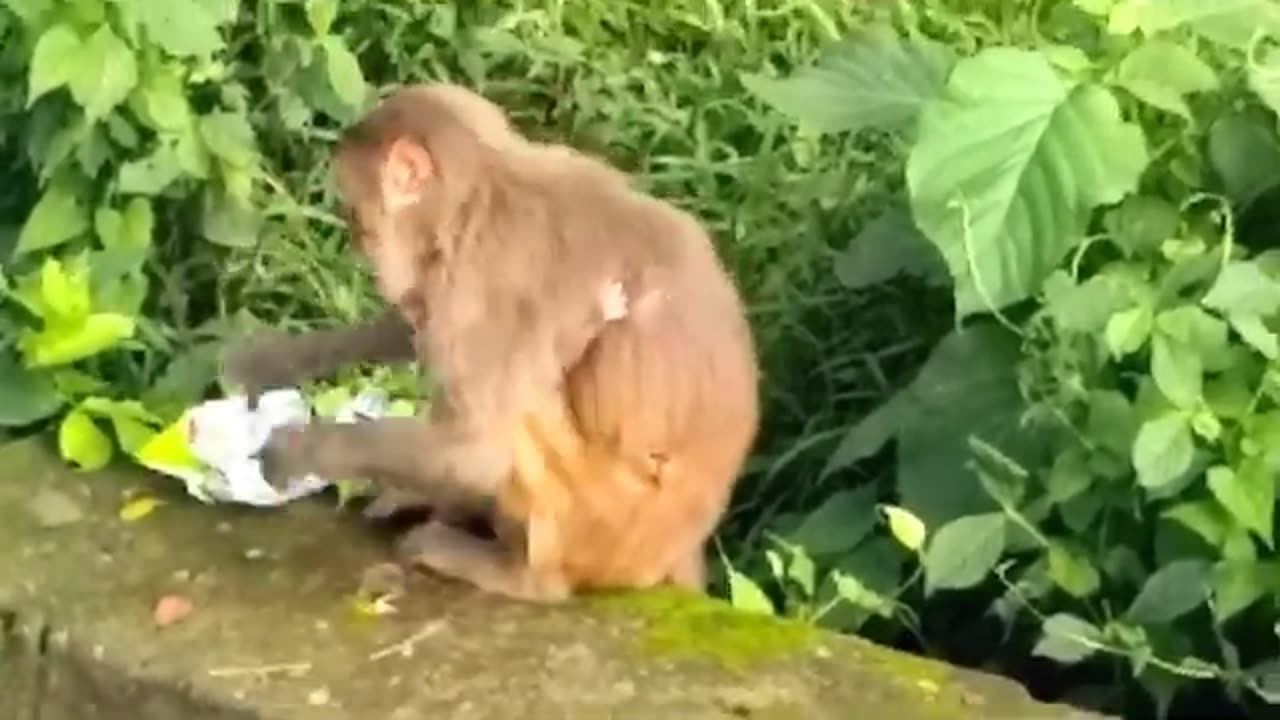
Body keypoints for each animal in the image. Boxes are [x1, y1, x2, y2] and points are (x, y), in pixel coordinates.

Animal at [222, 83, 760, 602]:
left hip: (606, 530)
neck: (479, 201)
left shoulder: (481, 282)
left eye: (357, 219)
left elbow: (474, 451)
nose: (365, 252)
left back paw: (523, 576)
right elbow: (416, 326)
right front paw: (276, 360)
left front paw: (297, 449)